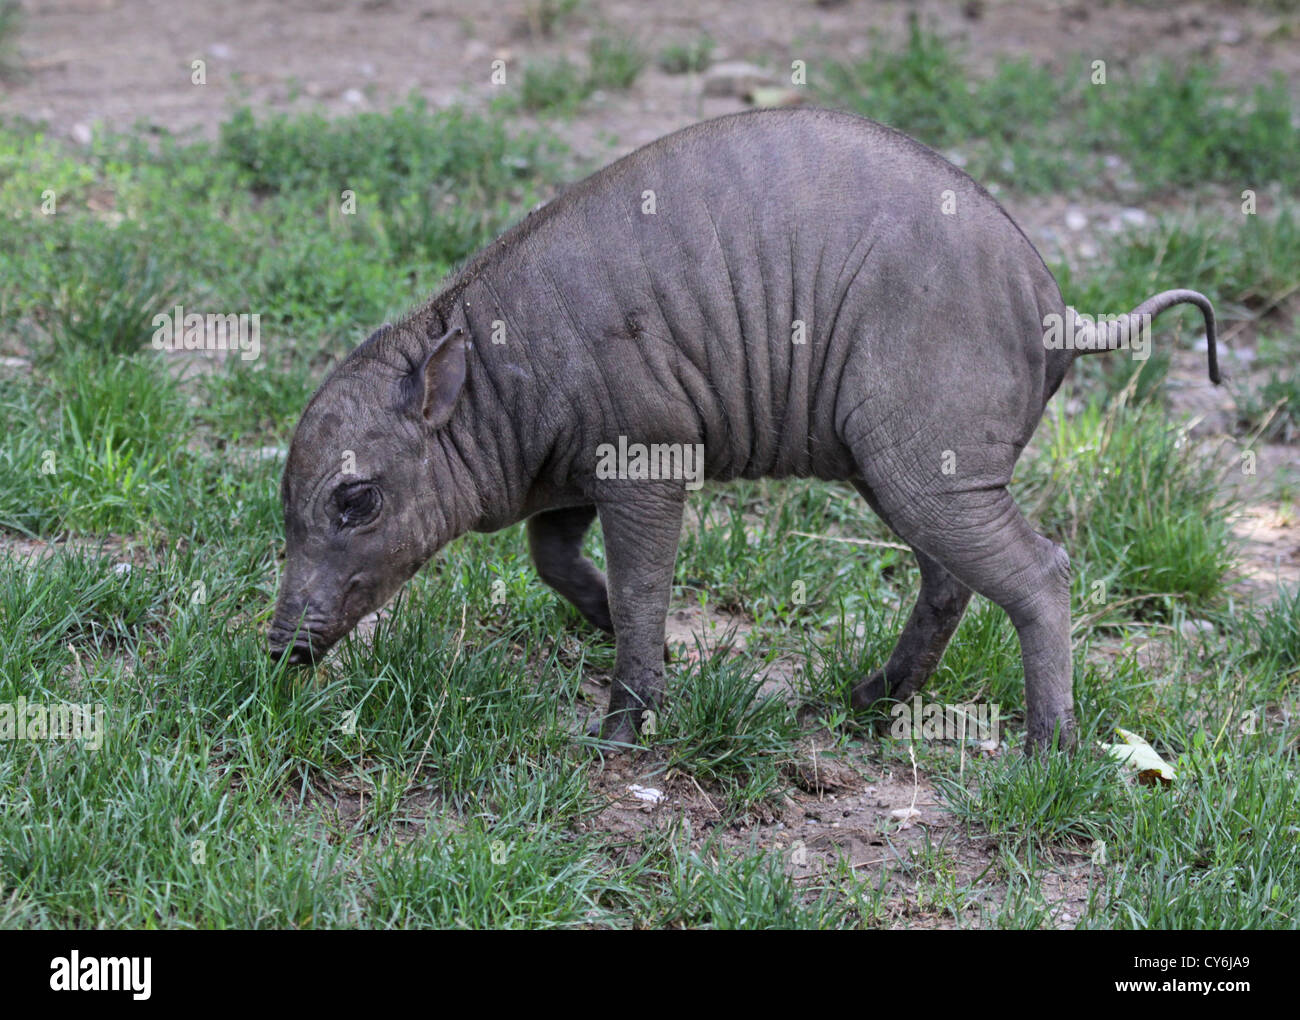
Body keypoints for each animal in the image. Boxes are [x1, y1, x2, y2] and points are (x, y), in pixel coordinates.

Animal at [268, 107, 1219, 750]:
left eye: (356, 500)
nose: (278, 652)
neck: (497, 377)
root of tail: (1060, 311)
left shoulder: (648, 460)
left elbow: (645, 587)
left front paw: (622, 726)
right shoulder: (570, 476)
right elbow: (553, 560)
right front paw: (626, 637)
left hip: (925, 468)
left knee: (1040, 572)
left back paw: (1048, 747)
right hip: (909, 469)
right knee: (948, 582)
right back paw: (869, 699)